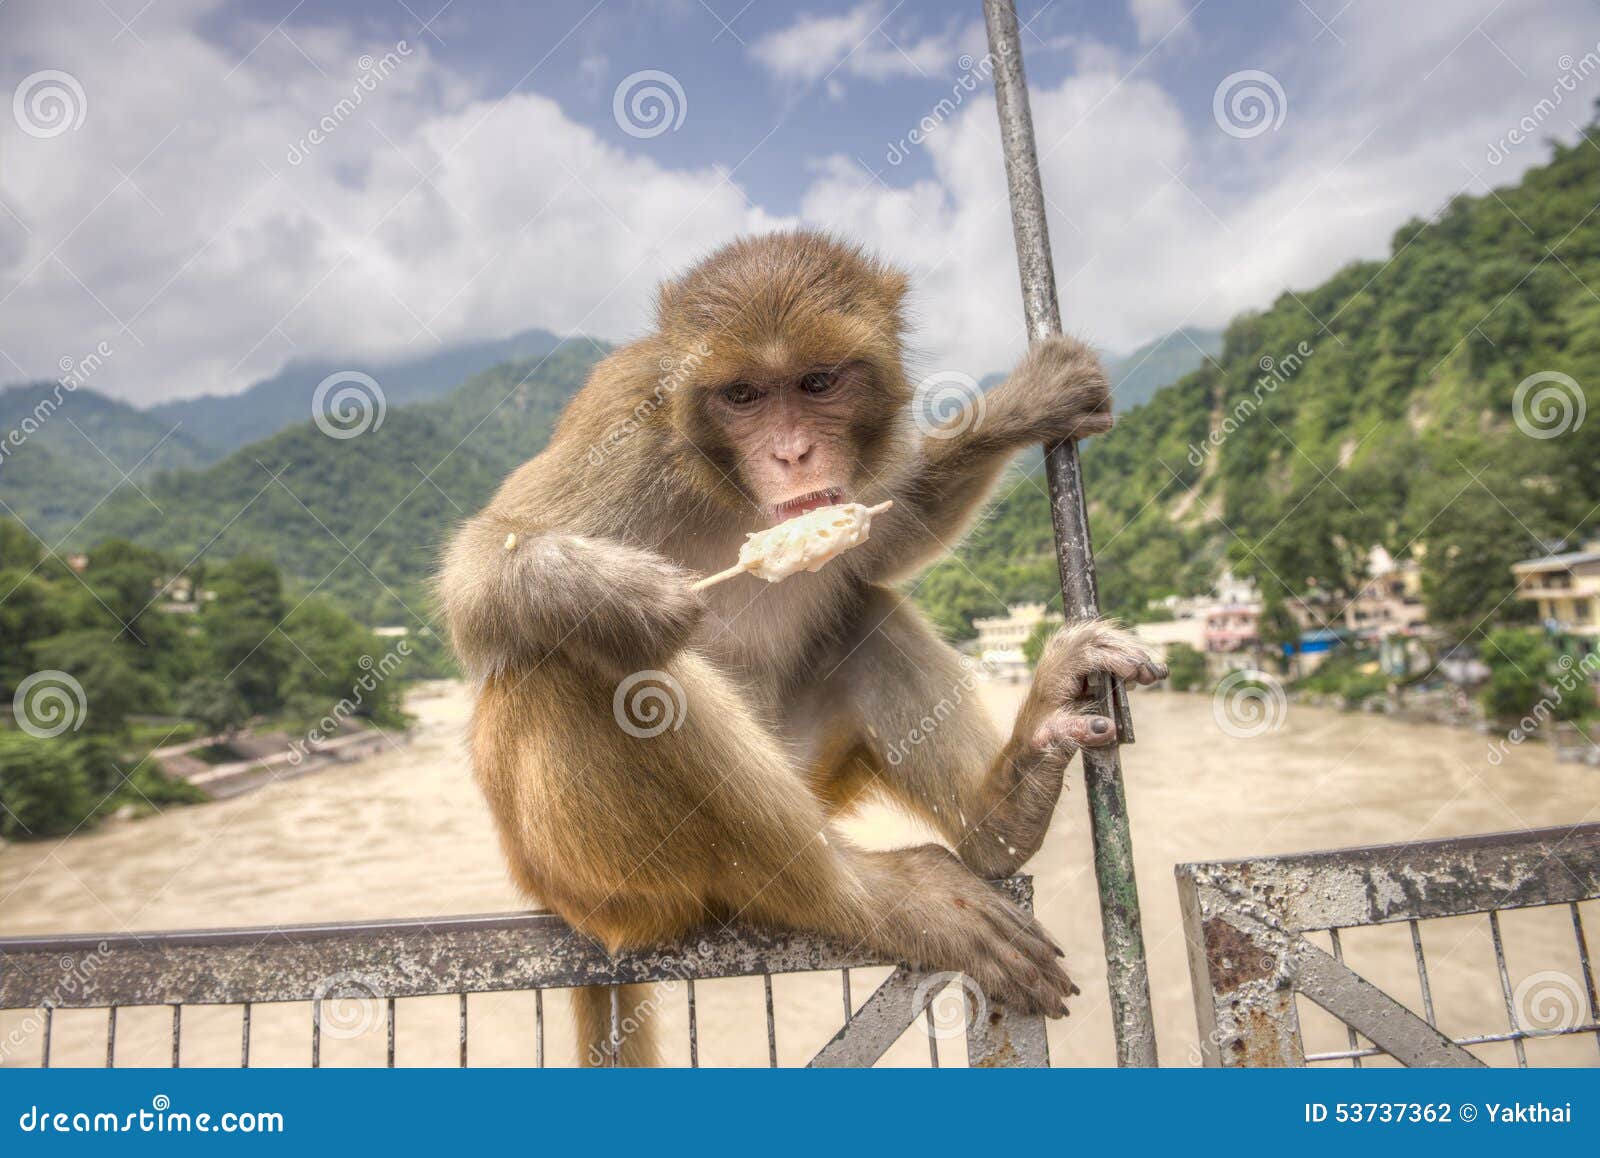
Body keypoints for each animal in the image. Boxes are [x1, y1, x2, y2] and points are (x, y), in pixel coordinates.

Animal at [438, 231, 1165, 1066]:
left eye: (818, 383)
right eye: (744, 396)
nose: (792, 454)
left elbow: (880, 540)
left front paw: (1023, 405)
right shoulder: (620, 427)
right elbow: (478, 570)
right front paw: (616, 594)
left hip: (811, 769)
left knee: (861, 613)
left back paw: (1006, 811)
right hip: (599, 874)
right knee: (578, 664)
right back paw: (873, 897)